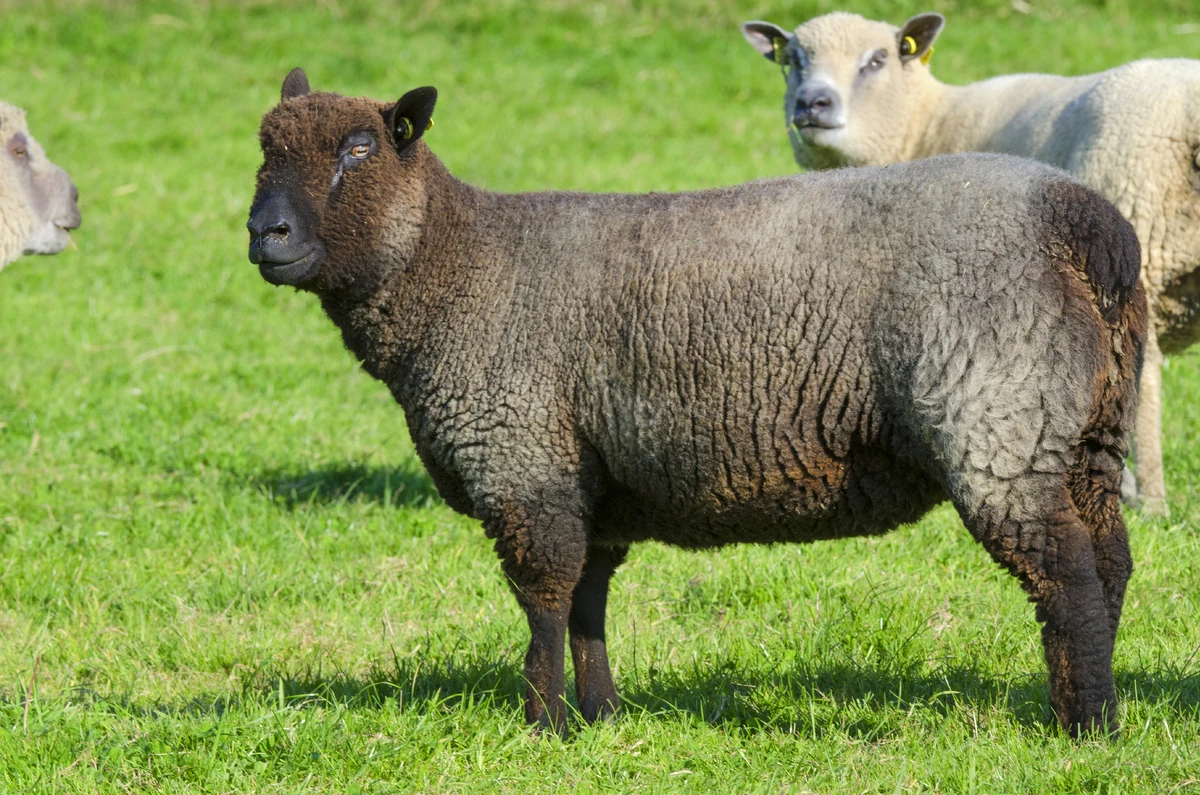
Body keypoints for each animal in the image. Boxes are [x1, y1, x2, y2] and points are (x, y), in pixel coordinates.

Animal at [247, 69, 1146, 738]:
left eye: (359, 148)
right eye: (261, 151)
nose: (266, 235)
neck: (457, 268)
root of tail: (1085, 223)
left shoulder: (522, 457)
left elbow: (543, 600)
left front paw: (542, 723)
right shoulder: (591, 477)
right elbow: (588, 599)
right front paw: (601, 717)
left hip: (997, 422)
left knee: (1064, 573)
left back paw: (1084, 728)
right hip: (1086, 433)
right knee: (1109, 560)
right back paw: (1097, 700)